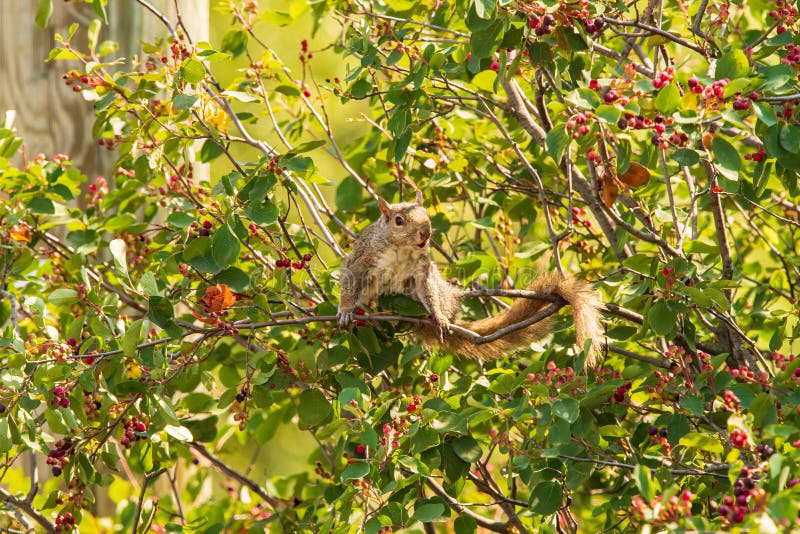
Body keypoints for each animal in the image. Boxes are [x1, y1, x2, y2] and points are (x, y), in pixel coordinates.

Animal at [336, 192, 604, 367]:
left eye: (427, 215)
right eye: (398, 220)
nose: (426, 232)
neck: (402, 249)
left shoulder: (422, 272)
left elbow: (428, 290)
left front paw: (439, 317)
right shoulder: (363, 261)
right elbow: (350, 281)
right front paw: (346, 311)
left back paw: (434, 319)